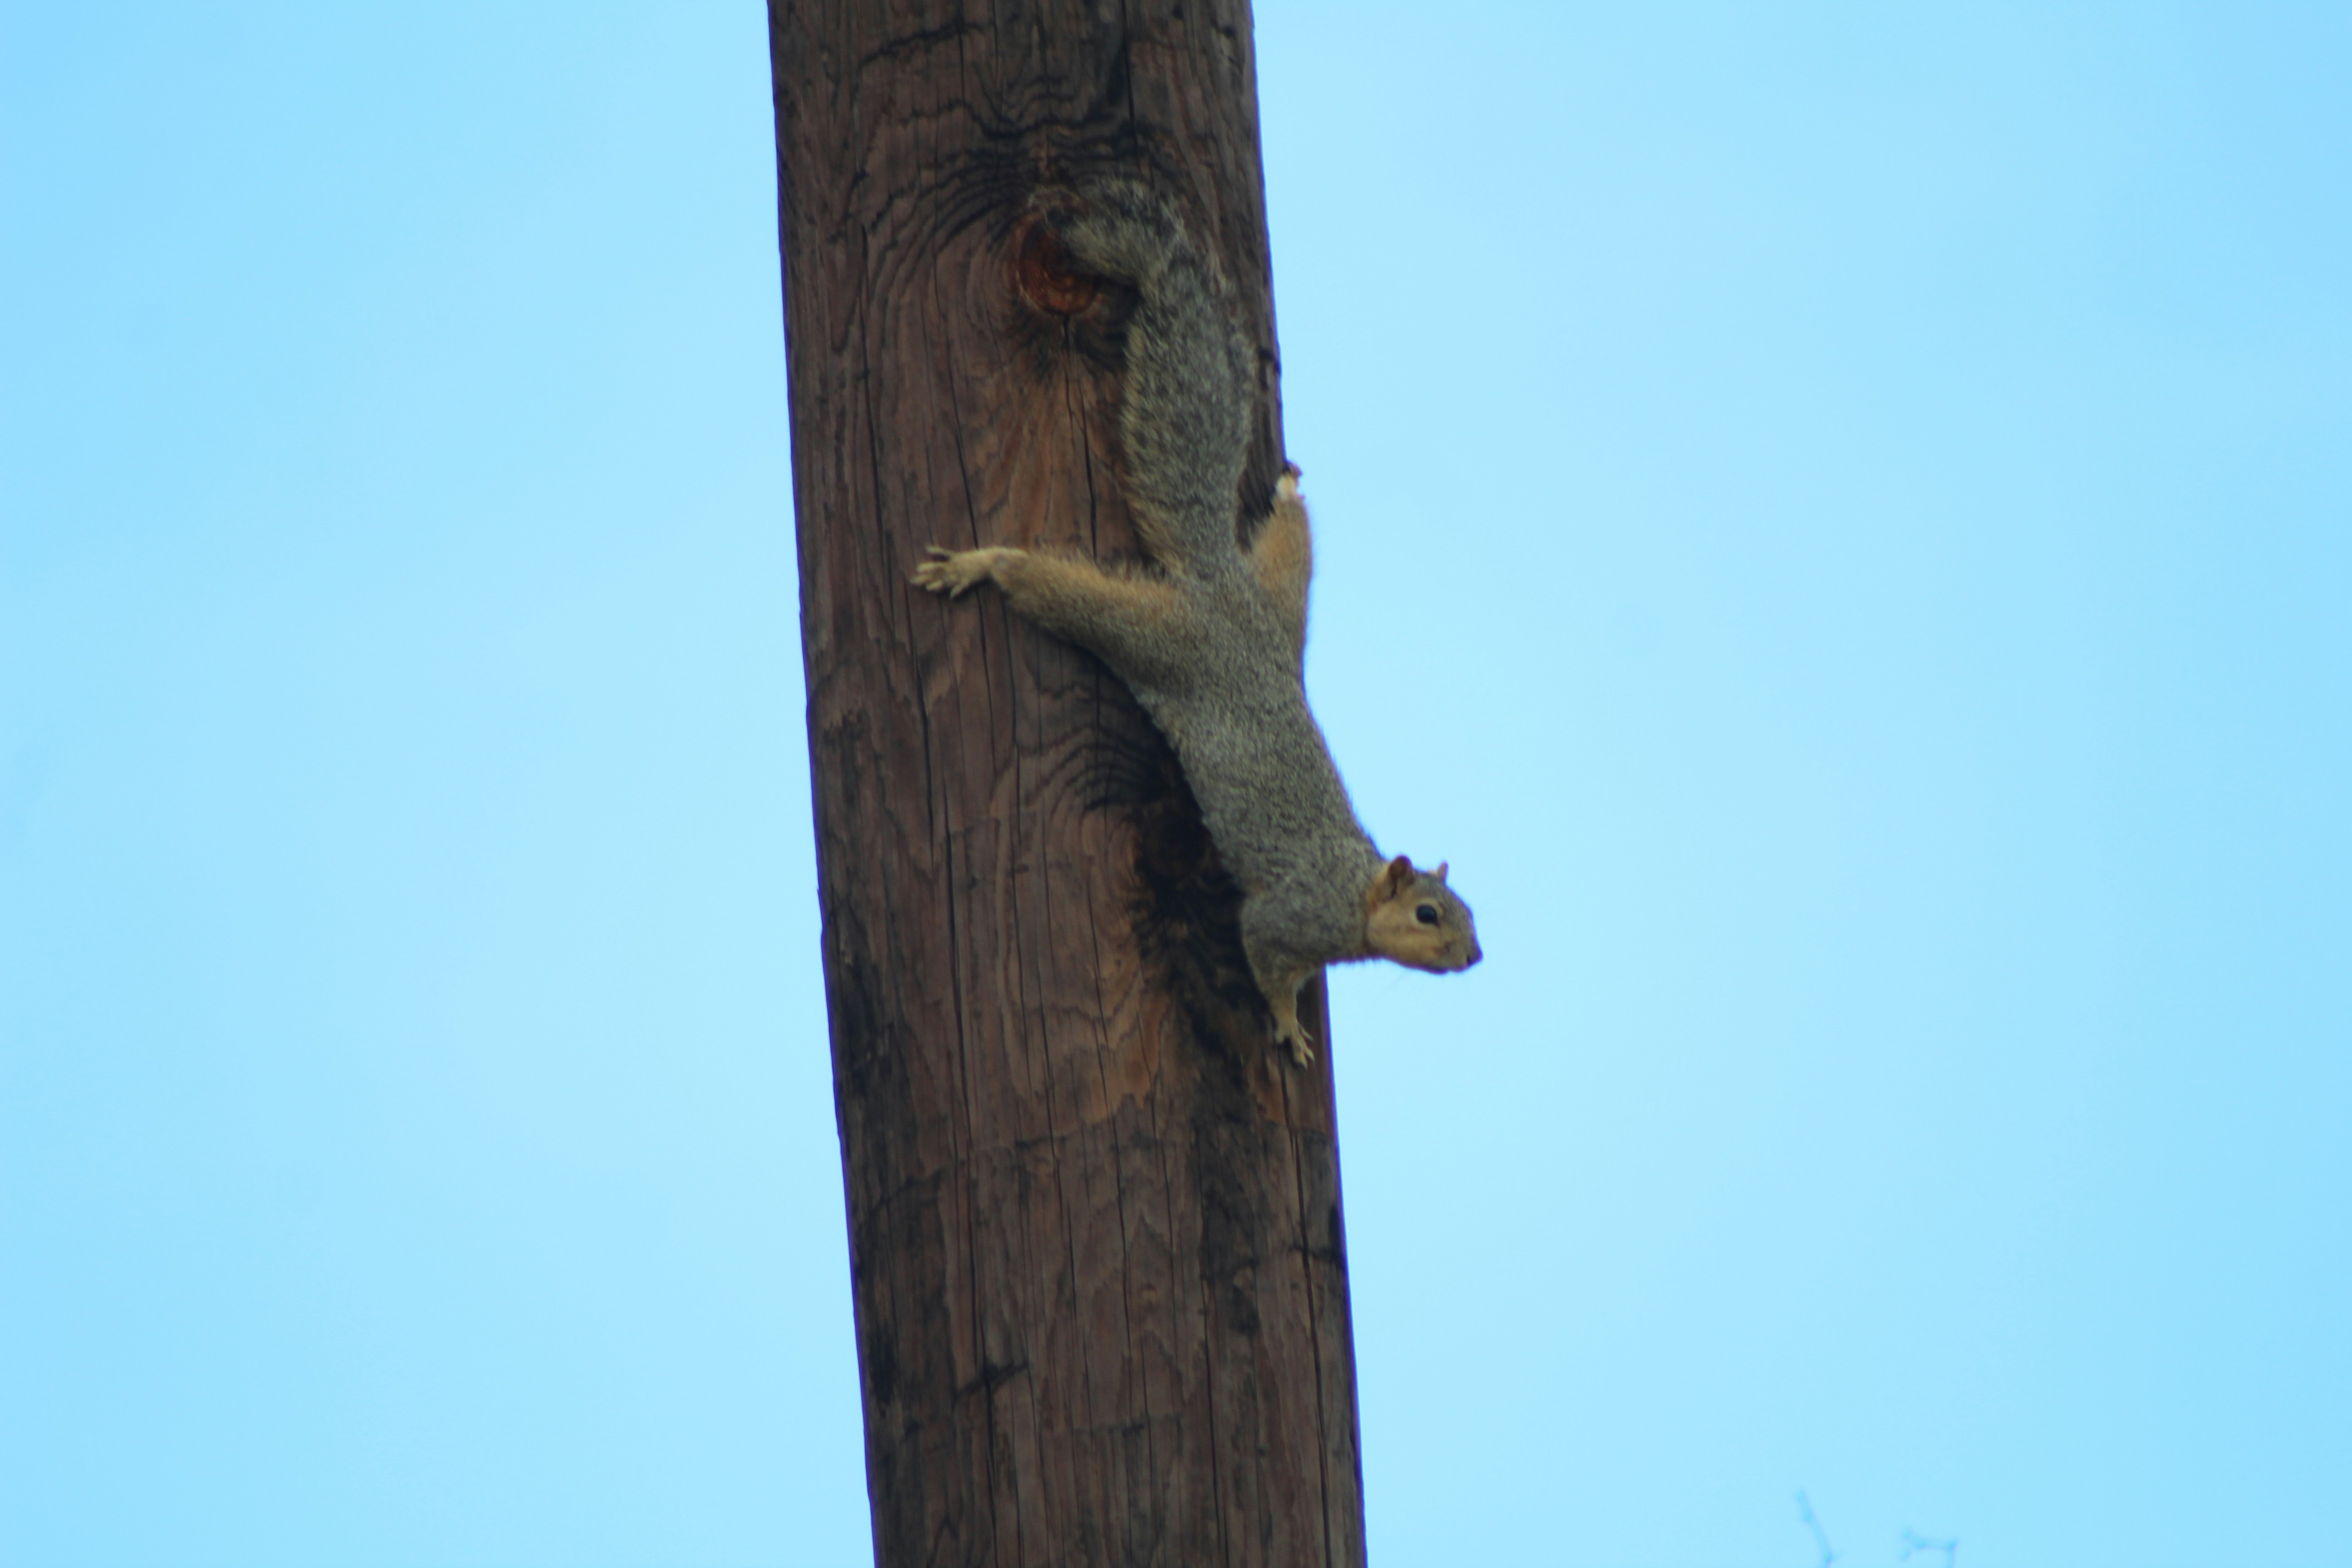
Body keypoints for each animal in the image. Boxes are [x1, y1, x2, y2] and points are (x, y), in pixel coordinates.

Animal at [914, 181, 1480, 1066]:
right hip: (1149, 636)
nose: (1475, 956)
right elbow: (1263, 959)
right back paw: (979, 564)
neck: (1353, 891)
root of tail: (1220, 587)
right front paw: (1287, 1029)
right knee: (1043, 584)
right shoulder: (1284, 917)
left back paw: (1287, 489)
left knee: (1291, 539)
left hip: (1283, 600)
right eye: (1428, 916)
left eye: (1468, 914)